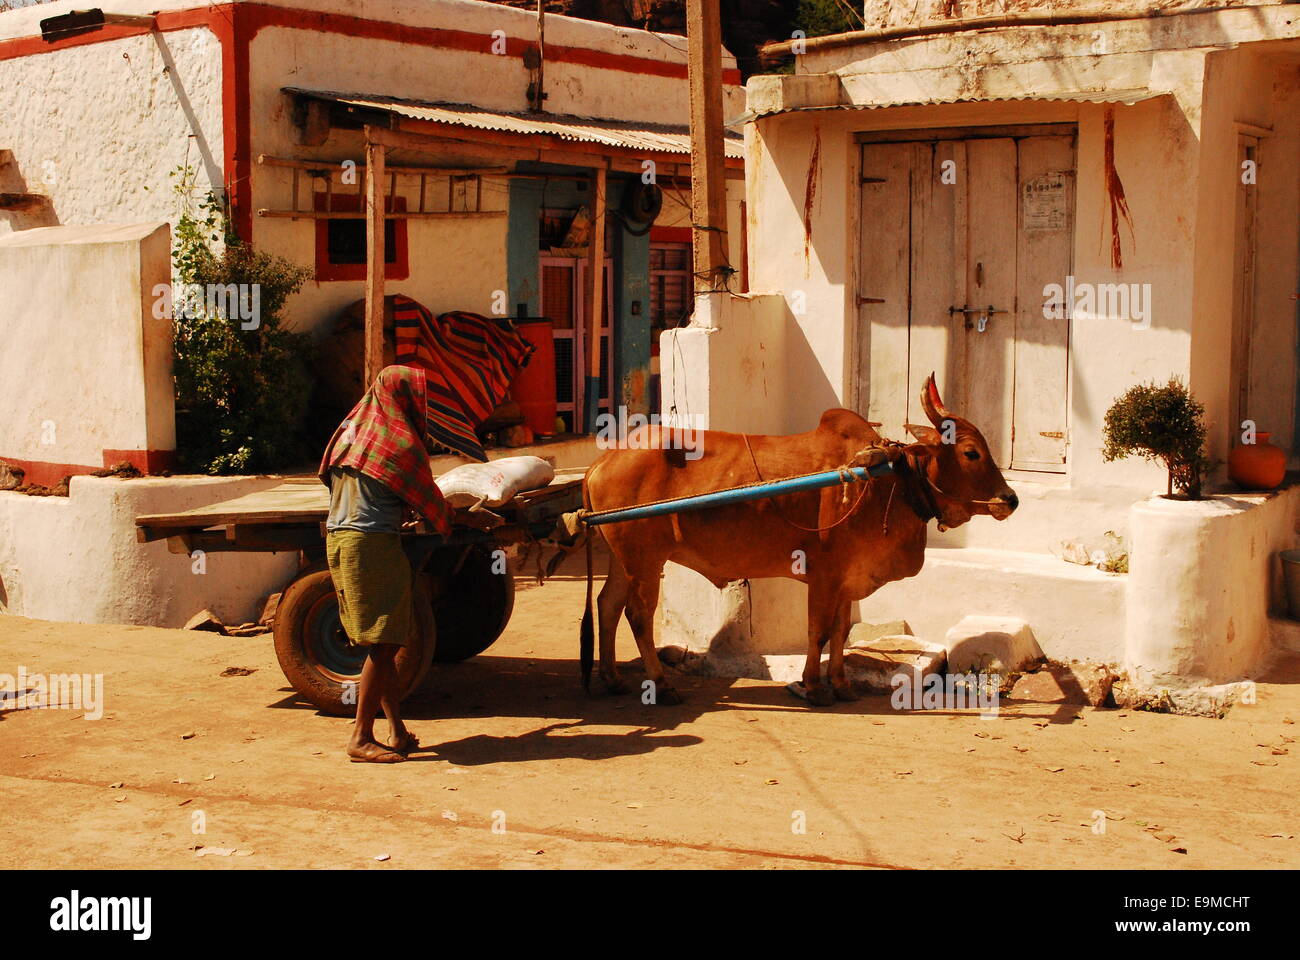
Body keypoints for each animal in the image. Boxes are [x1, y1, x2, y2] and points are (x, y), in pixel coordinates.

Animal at [579, 374, 1018, 707]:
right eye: (971, 452)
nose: (1010, 499)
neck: (887, 478)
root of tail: (603, 460)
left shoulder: (846, 581)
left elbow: (839, 631)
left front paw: (840, 684)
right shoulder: (824, 576)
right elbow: (818, 631)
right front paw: (812, 687)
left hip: (625, 559)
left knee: (607, 605)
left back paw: (612, 678)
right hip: (645, 560)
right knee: (638, 615)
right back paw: (662, 686)